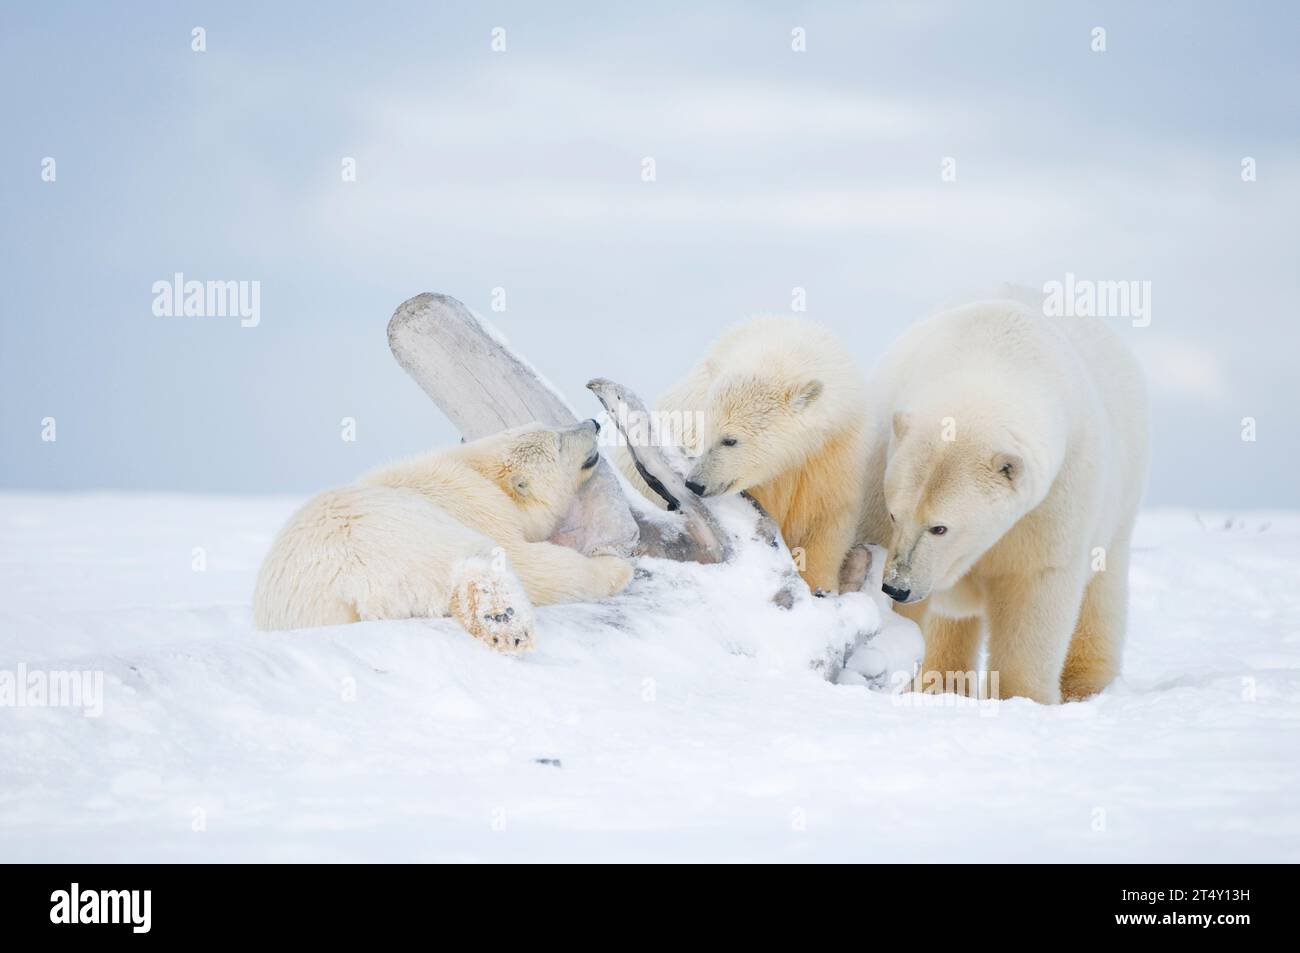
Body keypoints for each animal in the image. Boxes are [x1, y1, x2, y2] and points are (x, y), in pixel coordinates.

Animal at [252, 420, 634, 652]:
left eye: (552, 426)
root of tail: (354, 585)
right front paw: (615, 565)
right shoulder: (476, 508)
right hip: (415, 540)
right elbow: (531, 563)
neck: (476, 473)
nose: (593, 423)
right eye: (558, 443)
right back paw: (505, 625)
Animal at [612, 316, 869, 594]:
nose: (695, 484)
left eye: (730, 440)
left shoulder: (832, 452)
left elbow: (828, 521)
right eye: (706, 431)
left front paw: (820, 587)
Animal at [859, 298, 1148, 703]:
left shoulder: (1056, 494)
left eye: (940, 527)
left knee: (1101, 594)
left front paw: (1023, 699)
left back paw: (1084, 688)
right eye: (894, 515)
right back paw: (940, 684)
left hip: (1121, 498)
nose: (897, 587)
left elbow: (1034, 588)